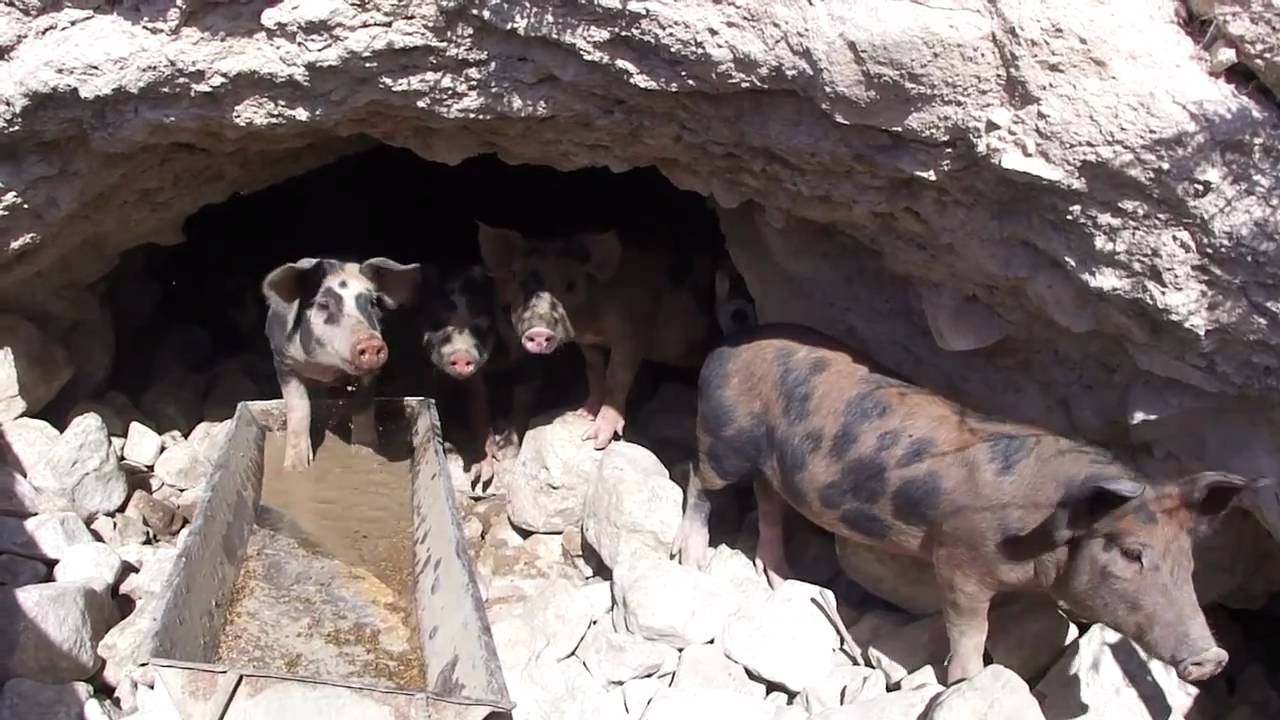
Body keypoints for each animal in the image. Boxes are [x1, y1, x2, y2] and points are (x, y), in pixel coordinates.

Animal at [262, 257, 421, 471]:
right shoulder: (283, 361)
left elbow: (362, 407)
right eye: (323, 304)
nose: (370, 342)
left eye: (372, 303)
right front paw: (295, 469)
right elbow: (299, 408)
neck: (326, 368)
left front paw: (365, 454)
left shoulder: (370, 374)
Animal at [477, 223, 717, 450]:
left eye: (571, 285)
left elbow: (616, 377)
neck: (593, 326)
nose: (539, 332)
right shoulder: (588, 342)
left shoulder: (632, 334)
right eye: (520, 280)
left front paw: (594, 440)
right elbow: (594, 370)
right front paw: (581, 413)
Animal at [672, 322, 1260, 685]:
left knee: (768, 500)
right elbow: (969, 630)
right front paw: (965, 682)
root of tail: (727, 344)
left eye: (1188, 563)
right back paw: (692, 559)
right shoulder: (959, 558)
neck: (1038, 532)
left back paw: (779, 577)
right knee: (699, 481)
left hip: (770, 463)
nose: (1212, 658)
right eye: (1132, 553)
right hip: (721, 437)